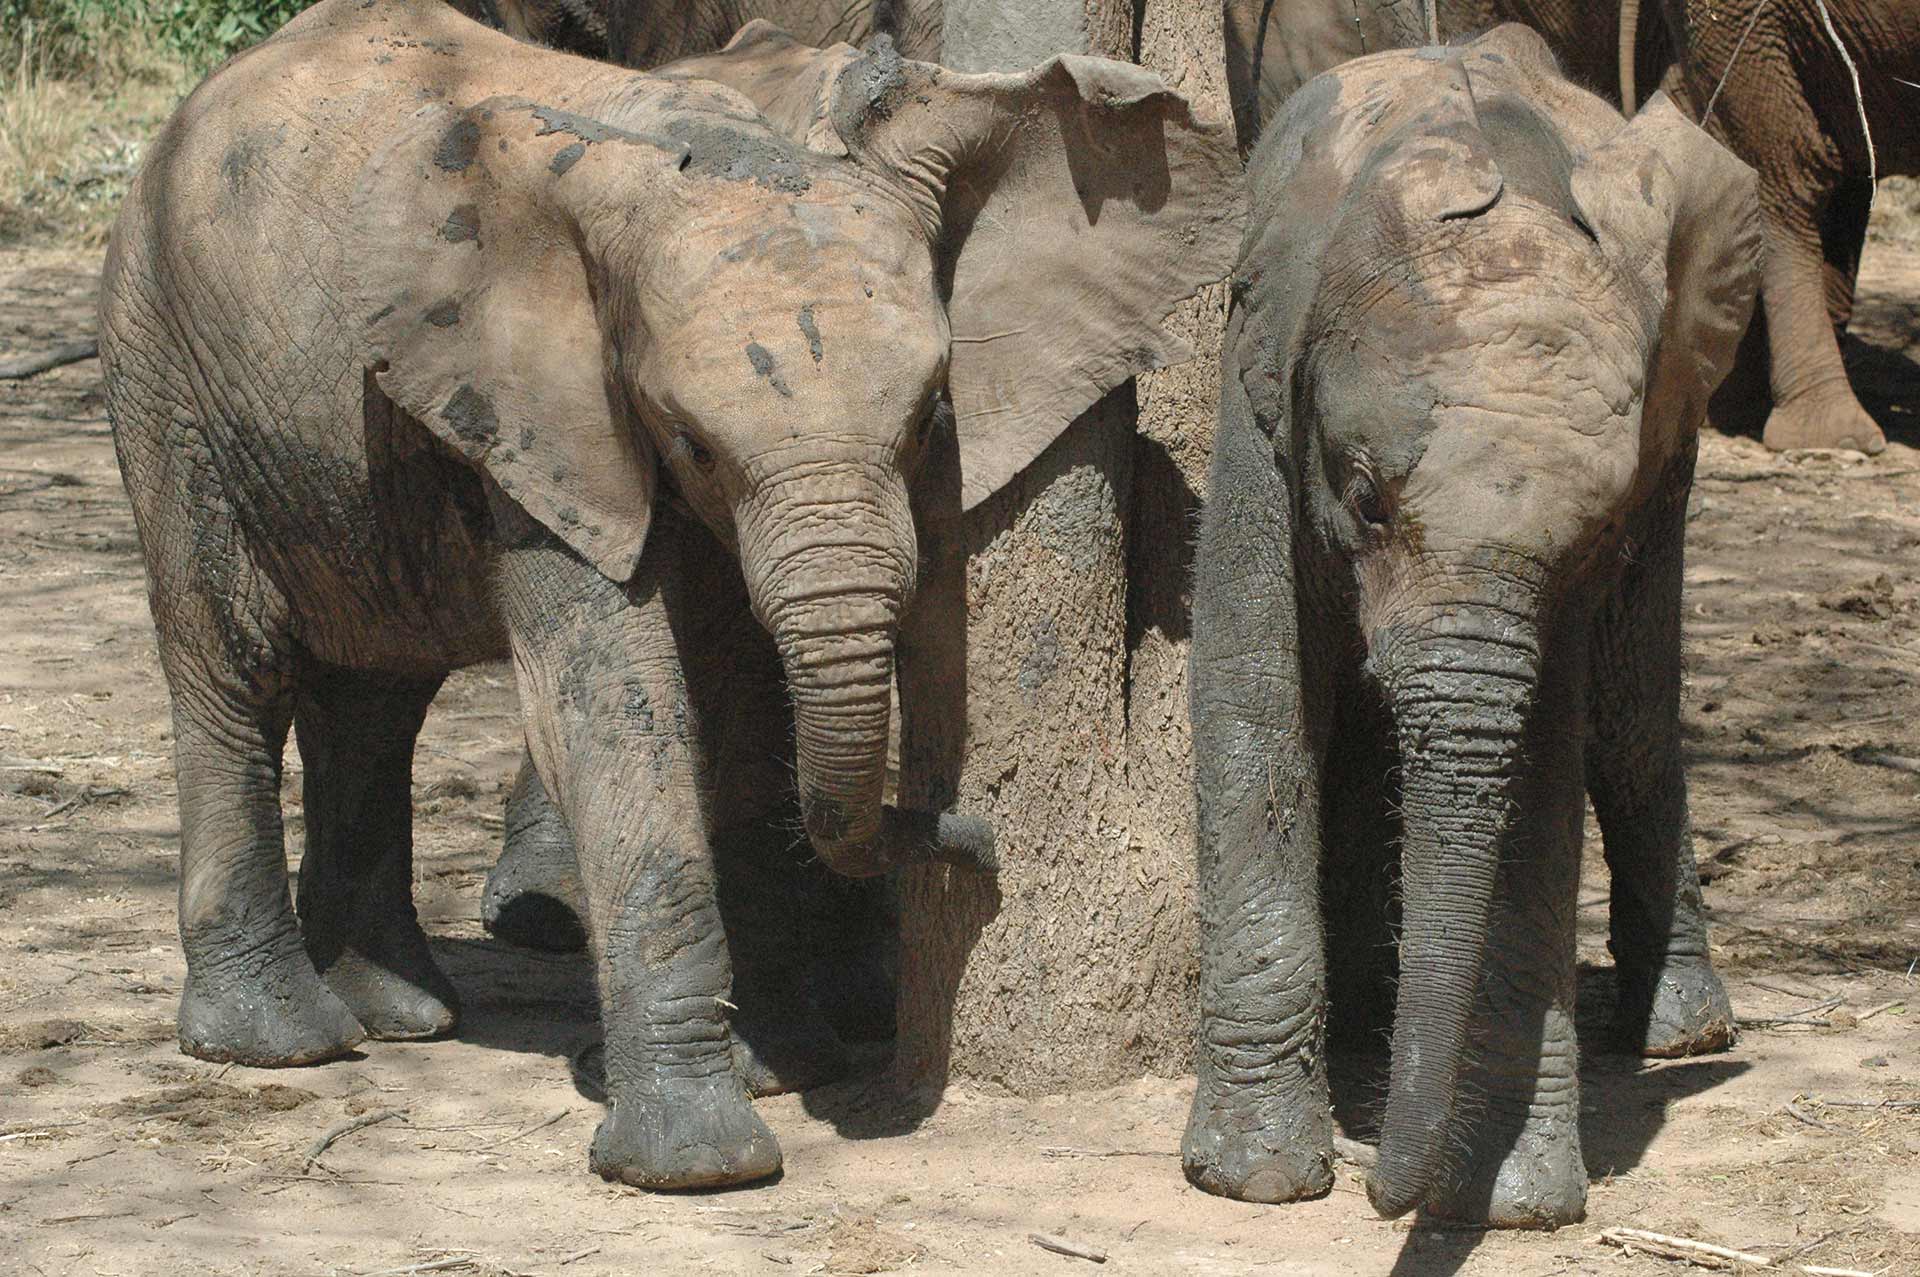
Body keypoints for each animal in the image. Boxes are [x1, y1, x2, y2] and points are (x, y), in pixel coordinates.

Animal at [101, 0, 1242, 1190]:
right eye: (691, 438)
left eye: (933, 416)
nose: (969, 830)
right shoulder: (548, 415)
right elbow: (619, 705)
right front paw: (701, 1158)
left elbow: (744, 708)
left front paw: (777, 1066)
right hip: (166, 368)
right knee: (237, 663)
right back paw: (283, 1039)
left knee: (375, 695)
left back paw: (398, 1012)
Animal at [1183, 26, 1754, 1226]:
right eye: (1364, 498)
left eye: (1595, 530)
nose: (1382, 1194)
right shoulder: (1260, 394)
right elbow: (1253, 687)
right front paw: (1255, 1181)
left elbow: (1540, 765)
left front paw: (1513, 1201)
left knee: (1631, 721)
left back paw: (1680, 1032)